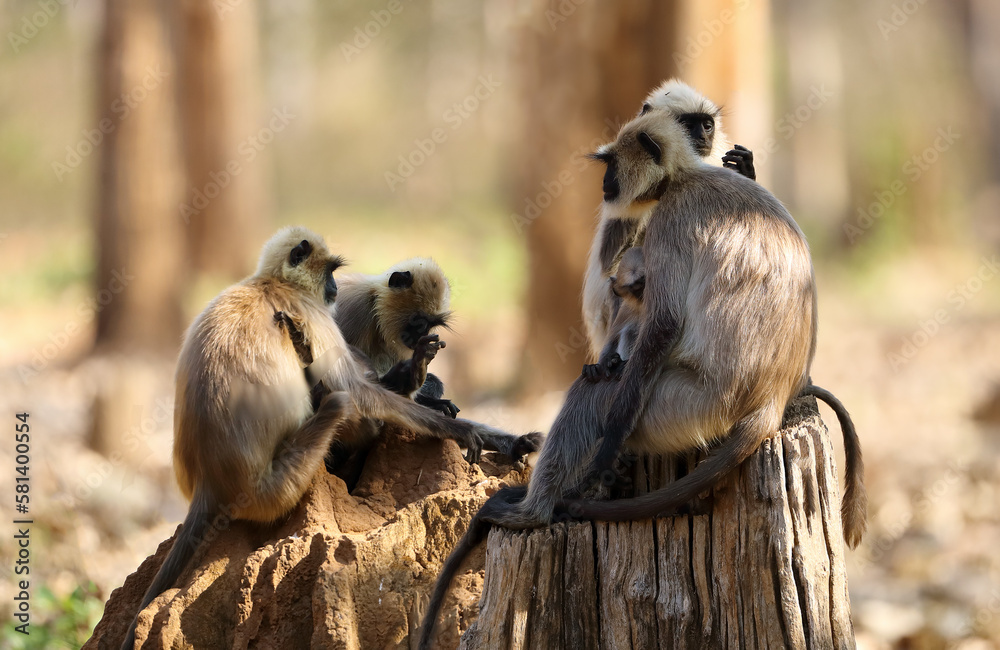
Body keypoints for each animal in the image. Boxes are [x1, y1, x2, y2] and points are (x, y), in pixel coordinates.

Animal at [122, 228, 538, 650]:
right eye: (419, 321)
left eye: (430, 323)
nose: (423, 335)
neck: (267, 282)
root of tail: (212, 484)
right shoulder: (328, 312)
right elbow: (358, 391)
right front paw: (463, 426)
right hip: (283, 483)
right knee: (341, 399)